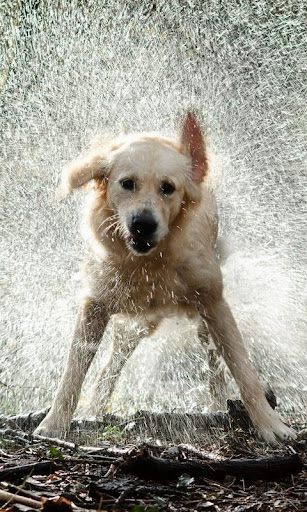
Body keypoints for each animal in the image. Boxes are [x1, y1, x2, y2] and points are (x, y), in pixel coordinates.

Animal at [35, 112, 298, 444]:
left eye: (168, 188)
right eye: (127, 184)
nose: (143, 224)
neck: (150, 262)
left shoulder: (214, 304)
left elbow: (244, 371)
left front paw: (270, 425)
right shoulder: (94, 305)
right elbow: (73, 372)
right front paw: (54, 423)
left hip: (200, 322)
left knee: (214, 365)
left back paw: (217, 405)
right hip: (134, 325)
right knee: (109, 367)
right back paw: (94, 410)